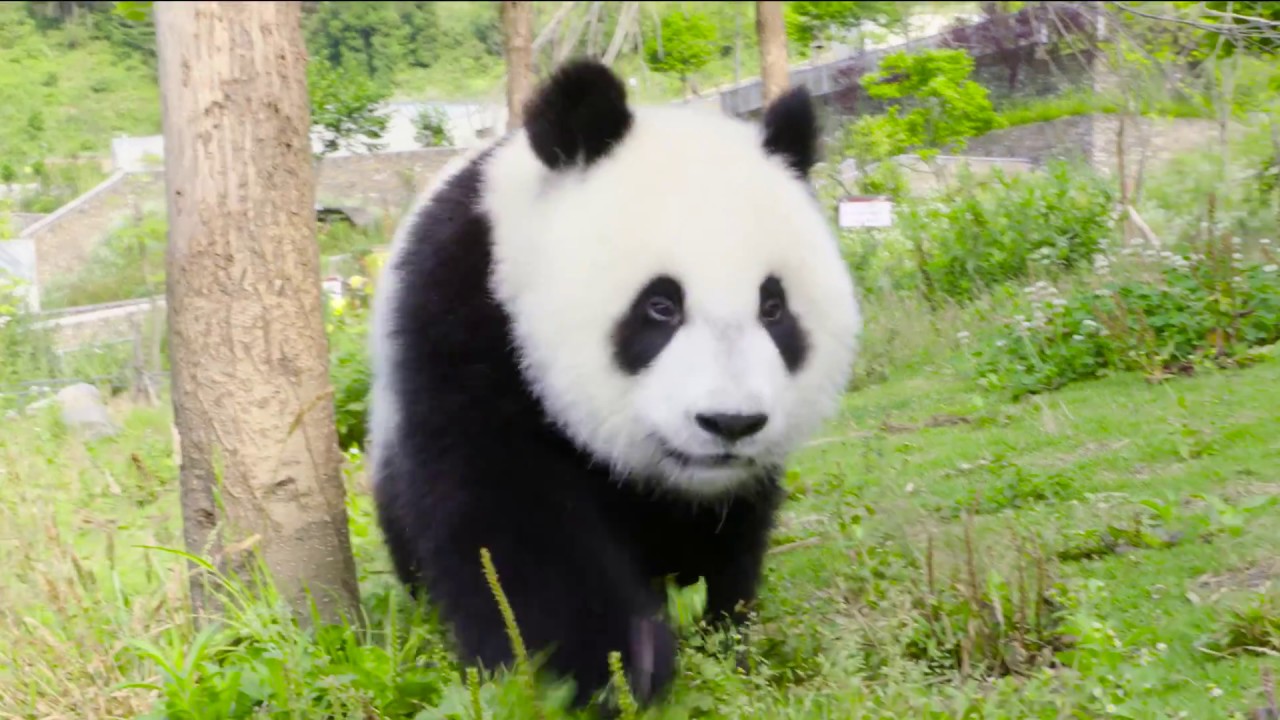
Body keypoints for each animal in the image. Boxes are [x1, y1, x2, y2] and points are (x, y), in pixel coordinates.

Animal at [368, 59, 862, 709]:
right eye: (660, 306)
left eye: (774, 308)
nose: (729, 423)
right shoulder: (467, 322)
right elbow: (507, 517)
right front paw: (611, 666)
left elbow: (725, 539)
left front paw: (714, 634)